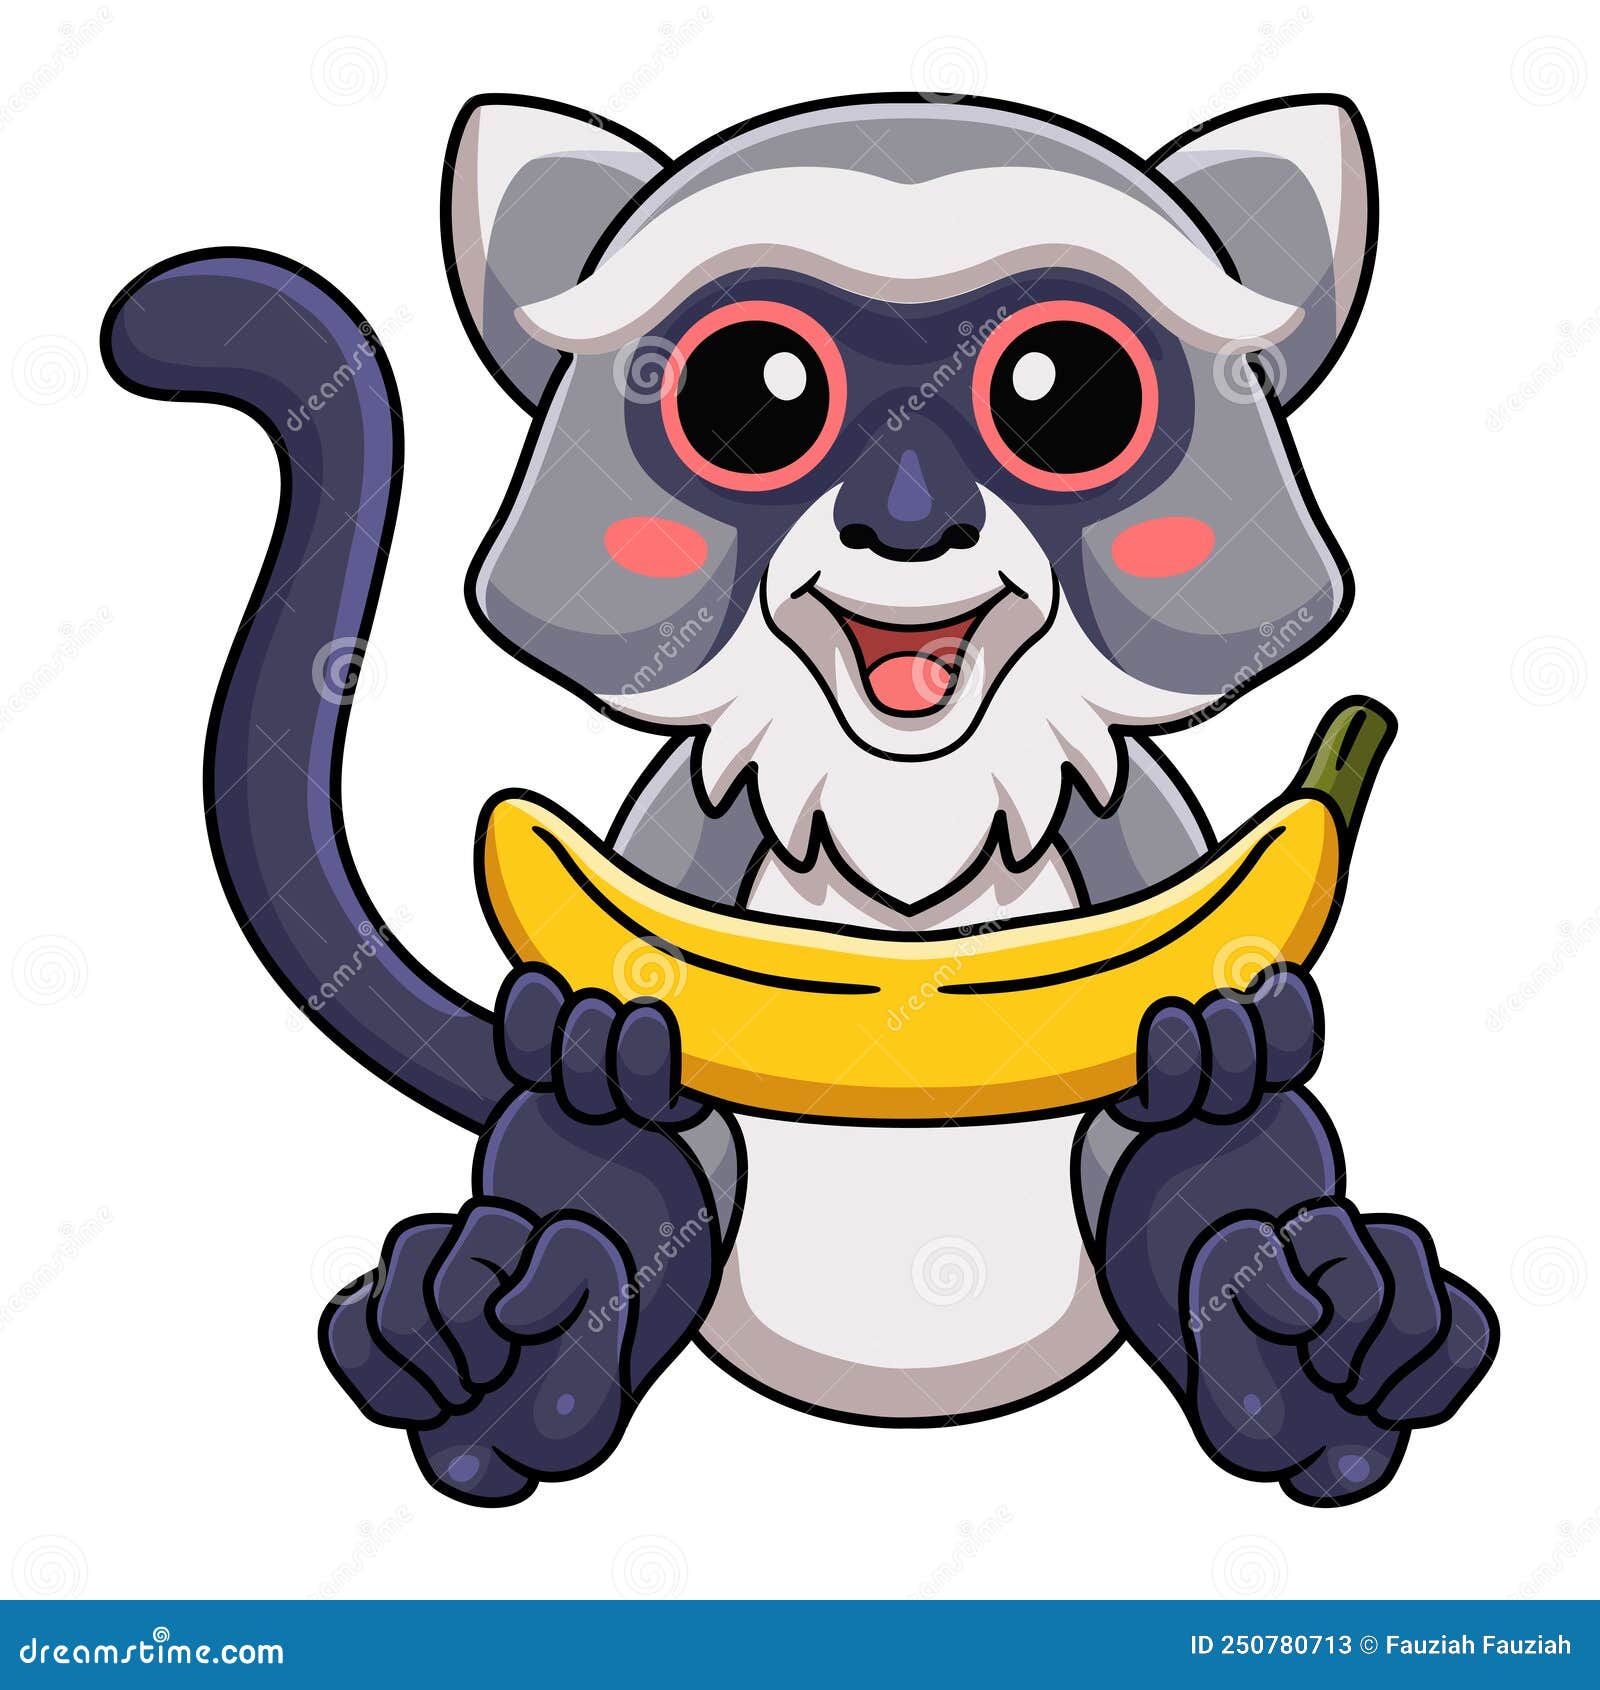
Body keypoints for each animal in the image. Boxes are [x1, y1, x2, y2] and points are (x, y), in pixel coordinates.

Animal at [102, 91, 1496, 1511]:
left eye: (1065, 390)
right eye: (754, 392)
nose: (910, 524)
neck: (911, 805)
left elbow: (1227, 1074)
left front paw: (1229, 1036)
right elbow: (593, 1057)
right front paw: (584, 1031)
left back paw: (1309, 1327)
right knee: (627, 1183)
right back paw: (512, 1327)